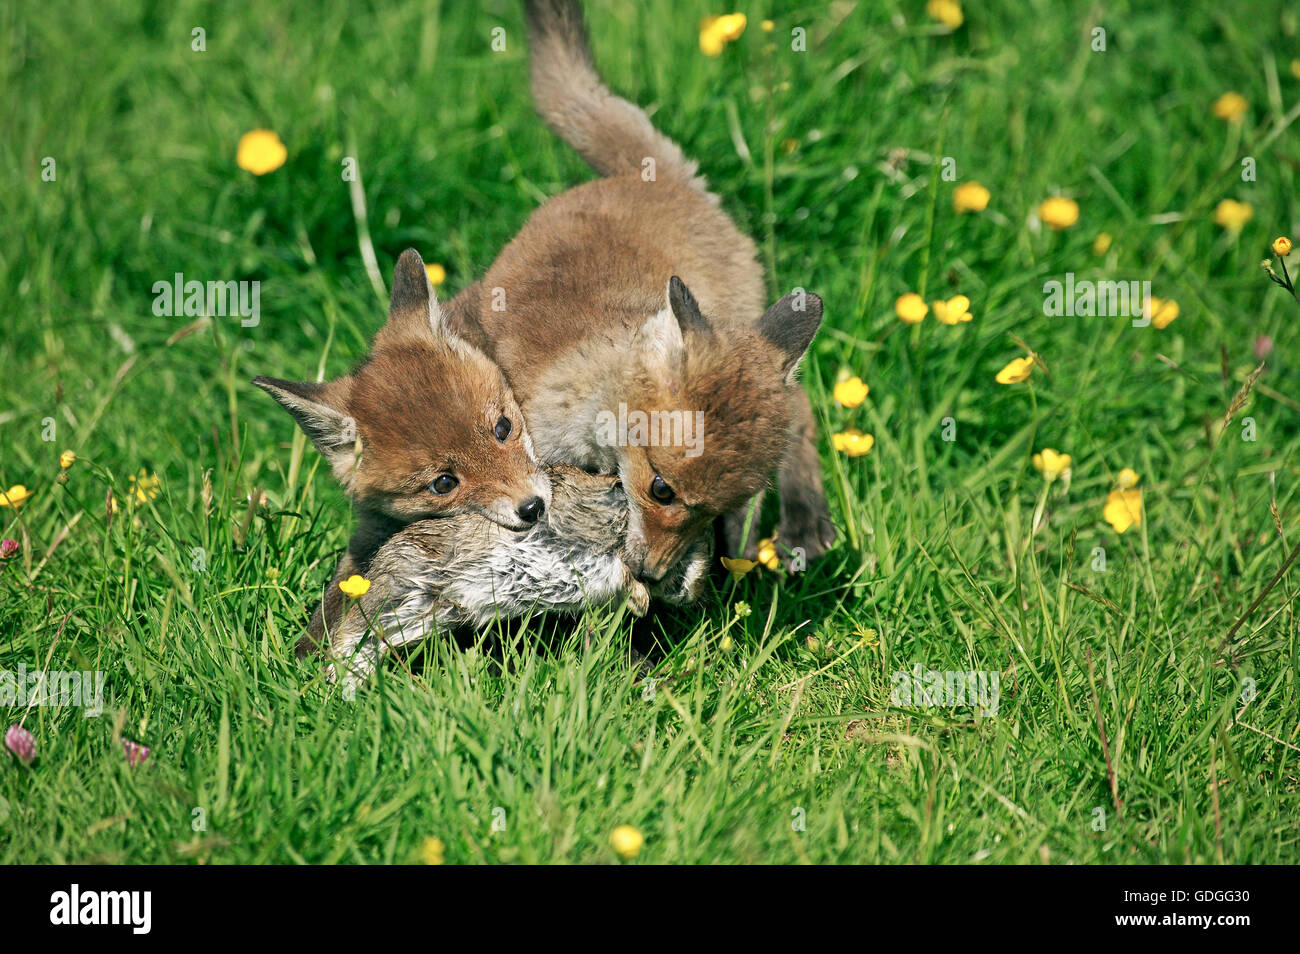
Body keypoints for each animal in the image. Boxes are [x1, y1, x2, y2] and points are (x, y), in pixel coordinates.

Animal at [253, 249, 552, 652]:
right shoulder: (372, 530)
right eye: (444, 484)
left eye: (503, 428)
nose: (533, 508)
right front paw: (302, 661)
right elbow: (336, 597)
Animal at [324, 465, 710, 690]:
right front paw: (641, 600)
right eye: (619, 487)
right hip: (397, 592)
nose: (692, 590)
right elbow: (616, 569)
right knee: (349, 635)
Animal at [437, 0, 836, 584]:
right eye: (661, 489)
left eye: (718, 510)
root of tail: (654, 176)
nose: (653, 574)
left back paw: (806, 521)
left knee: (803, 409)